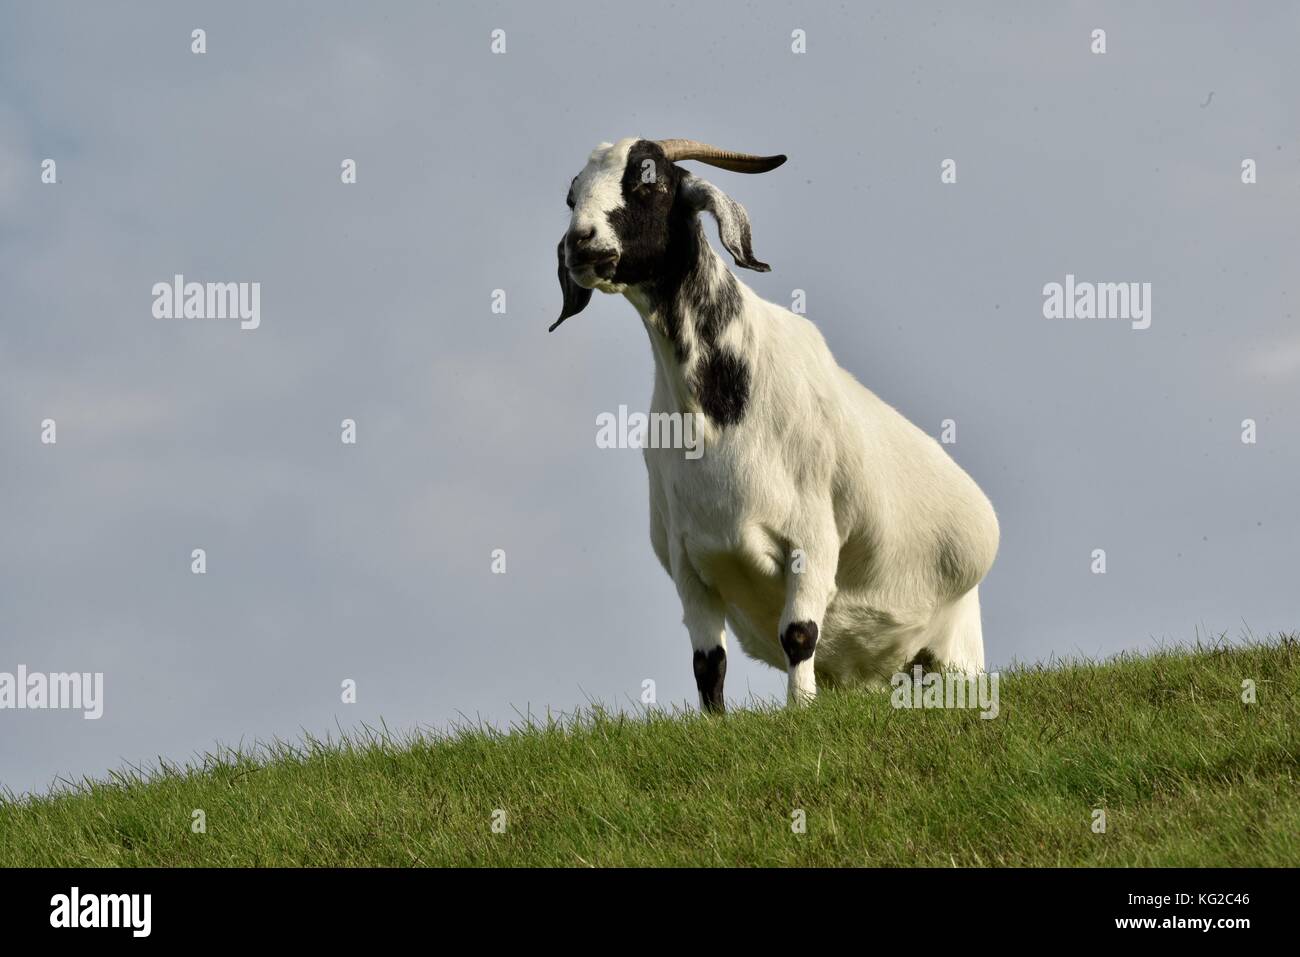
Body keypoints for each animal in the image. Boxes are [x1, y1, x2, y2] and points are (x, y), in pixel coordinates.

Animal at [552, 138, 999, 711]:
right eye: (572, 197)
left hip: (961, 648)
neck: (717, 417)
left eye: (651, 182)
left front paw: (799, 711)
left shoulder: (812, 542)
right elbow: (708, 662)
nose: (579, 244)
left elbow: (800, 635)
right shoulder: (687, 563)